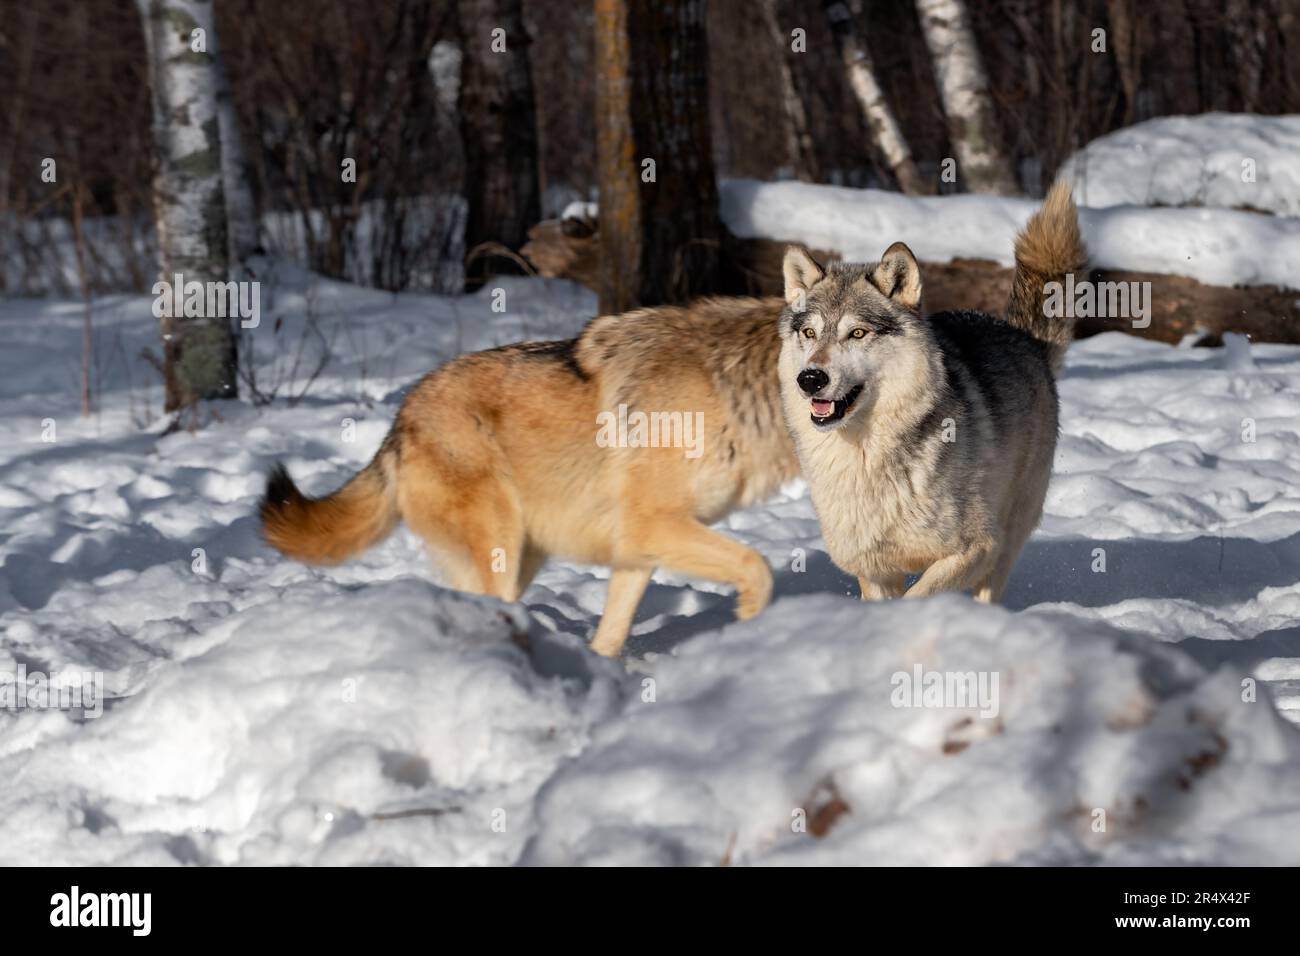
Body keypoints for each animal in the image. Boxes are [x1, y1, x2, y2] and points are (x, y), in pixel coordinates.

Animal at [260, 297, 797, 656]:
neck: (736, 385)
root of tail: (400, 419)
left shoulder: (637, 546)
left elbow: (612, 633)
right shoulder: (653, 525)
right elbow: (757, 566)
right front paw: (752, 629)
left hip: (521, 558)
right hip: (502, 548)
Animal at [778, 181, 1086, 602]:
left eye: (857, 333)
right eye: (809, 333)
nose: (810, 379)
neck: (865, 457)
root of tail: (1023, 337)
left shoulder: (977, 548)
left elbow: (919, 596)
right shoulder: (875, 570)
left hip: (1007, 539)